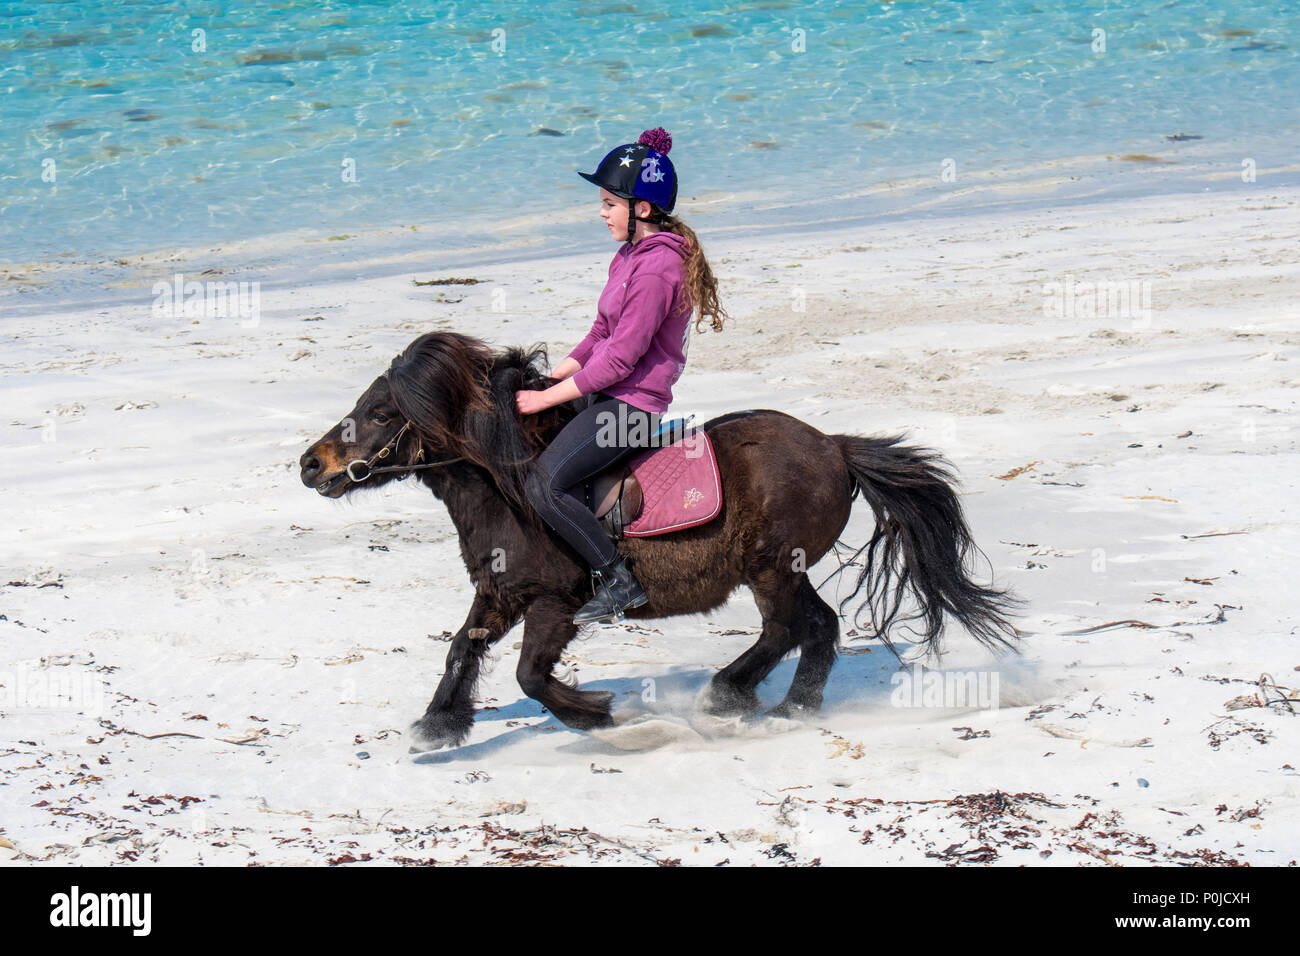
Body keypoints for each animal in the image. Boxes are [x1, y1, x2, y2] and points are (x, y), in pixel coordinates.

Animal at [299, 331, 1020, 751]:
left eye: (382, 413)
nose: (310, 465)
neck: (508, 485)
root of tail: (833, 447)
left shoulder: (555, 603)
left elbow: (531, 675)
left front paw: (601, 716)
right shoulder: (501, 594)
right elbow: (459, 650)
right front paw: (438, 725)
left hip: (770, 568)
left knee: (787, 629)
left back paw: (727, 698)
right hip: (783, 569)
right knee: (816, 627)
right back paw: (789, 708)